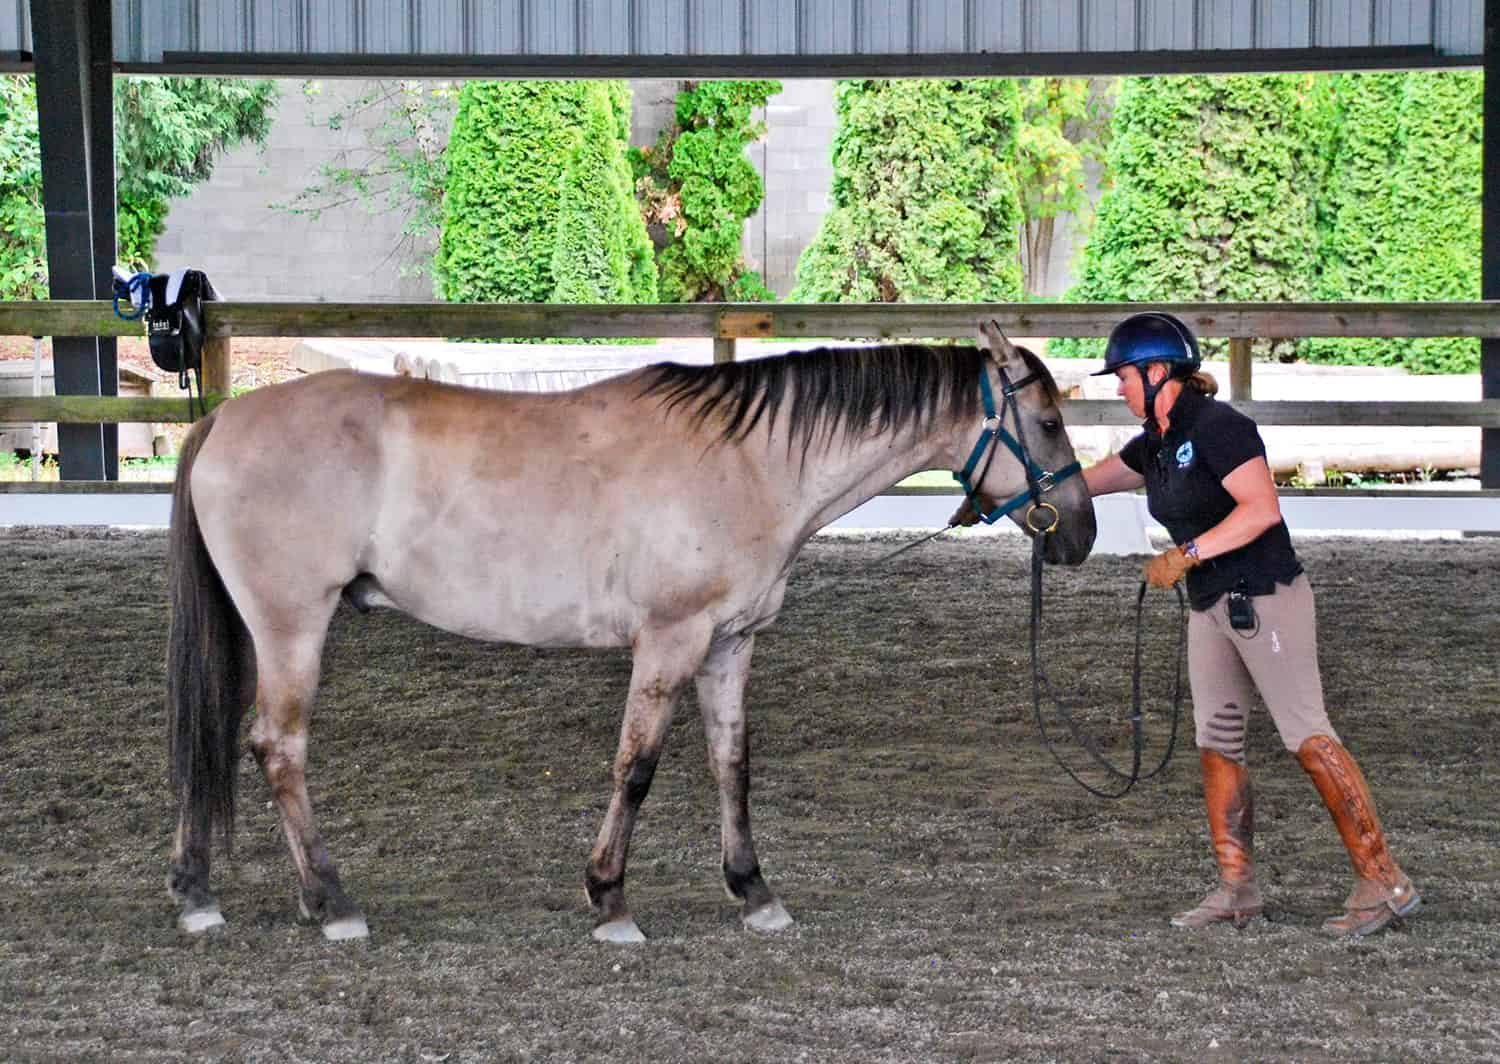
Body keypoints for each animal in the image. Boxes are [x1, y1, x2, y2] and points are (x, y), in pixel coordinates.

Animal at [165, 322, 1096, 943]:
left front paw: (754, 891)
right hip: (293, 625)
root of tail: (223, 420)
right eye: (1049, 423)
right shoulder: (670, 641)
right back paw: (332, 902)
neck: (747, 461)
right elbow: (637, 768)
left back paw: (199, 891)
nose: (1080, 535)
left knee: (214, 738)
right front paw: (610, 899)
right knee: (278, 748)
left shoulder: (730, 644)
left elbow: (731, 765)